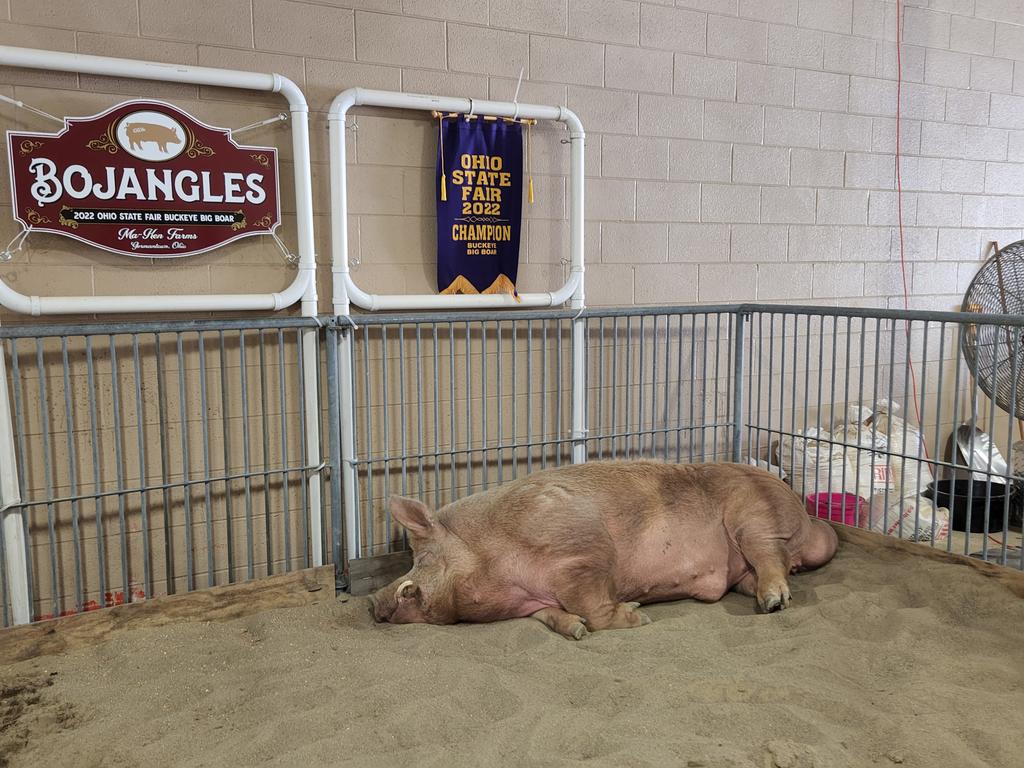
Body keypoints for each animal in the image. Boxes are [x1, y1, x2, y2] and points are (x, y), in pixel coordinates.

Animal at [370, 461, 838, 639]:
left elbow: (594, 604)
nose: (373, 601)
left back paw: (773, 604)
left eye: (422, 559)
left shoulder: (583, 551)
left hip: (753, 518)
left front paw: (639, 615)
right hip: (744, 564)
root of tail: (805, 516)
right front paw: (574, 630)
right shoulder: (533, 602)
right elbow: (551, 616)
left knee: (772, 559)